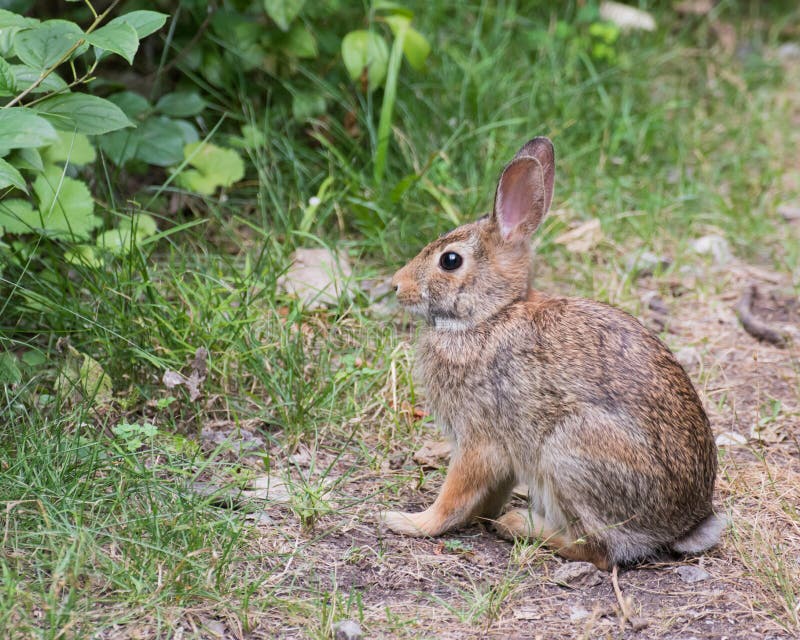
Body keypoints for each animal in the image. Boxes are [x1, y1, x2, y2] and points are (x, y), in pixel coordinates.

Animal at [383, 137, 723, 570]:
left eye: (451, 260)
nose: (396, 285)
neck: (491, 315)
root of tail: (682, 526)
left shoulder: (478, 437)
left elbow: (454, 494)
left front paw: (409, 522)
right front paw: (478, 517)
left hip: (568, 453)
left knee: (598, 549)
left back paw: (520, 524)